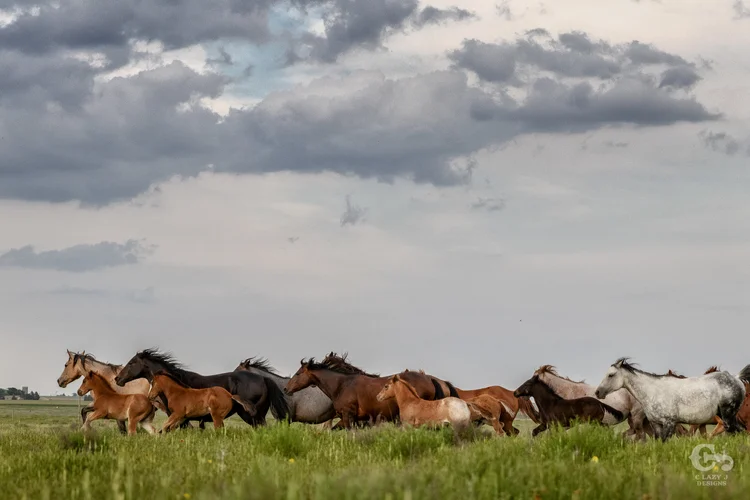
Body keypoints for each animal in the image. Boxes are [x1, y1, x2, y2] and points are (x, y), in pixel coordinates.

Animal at [594, 358, 750, 441]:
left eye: (611, 375)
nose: (598, 392)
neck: (652, 391)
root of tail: (736, 378)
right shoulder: (656, 424)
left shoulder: (669, 423)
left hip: (727, 417)